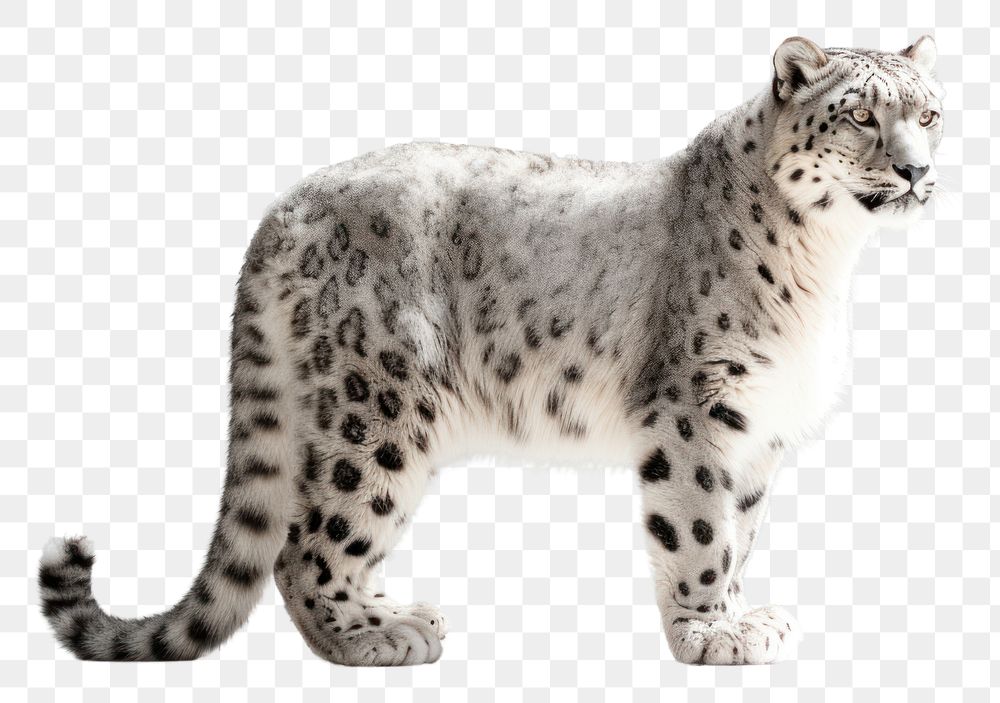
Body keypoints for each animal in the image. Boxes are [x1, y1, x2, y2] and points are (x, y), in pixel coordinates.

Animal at [39, 35, 943, 666]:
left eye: (928, 113)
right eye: (860, 114)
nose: (915, 170)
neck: (827, 262)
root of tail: (287, 205)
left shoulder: (759, 423)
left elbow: (739, 529)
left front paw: (742, 615)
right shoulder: (694, 411)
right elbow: (696, 528)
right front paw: (708, 631)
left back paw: (390, 610)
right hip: (379, 409)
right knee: (307, 542)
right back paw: (372, 637)